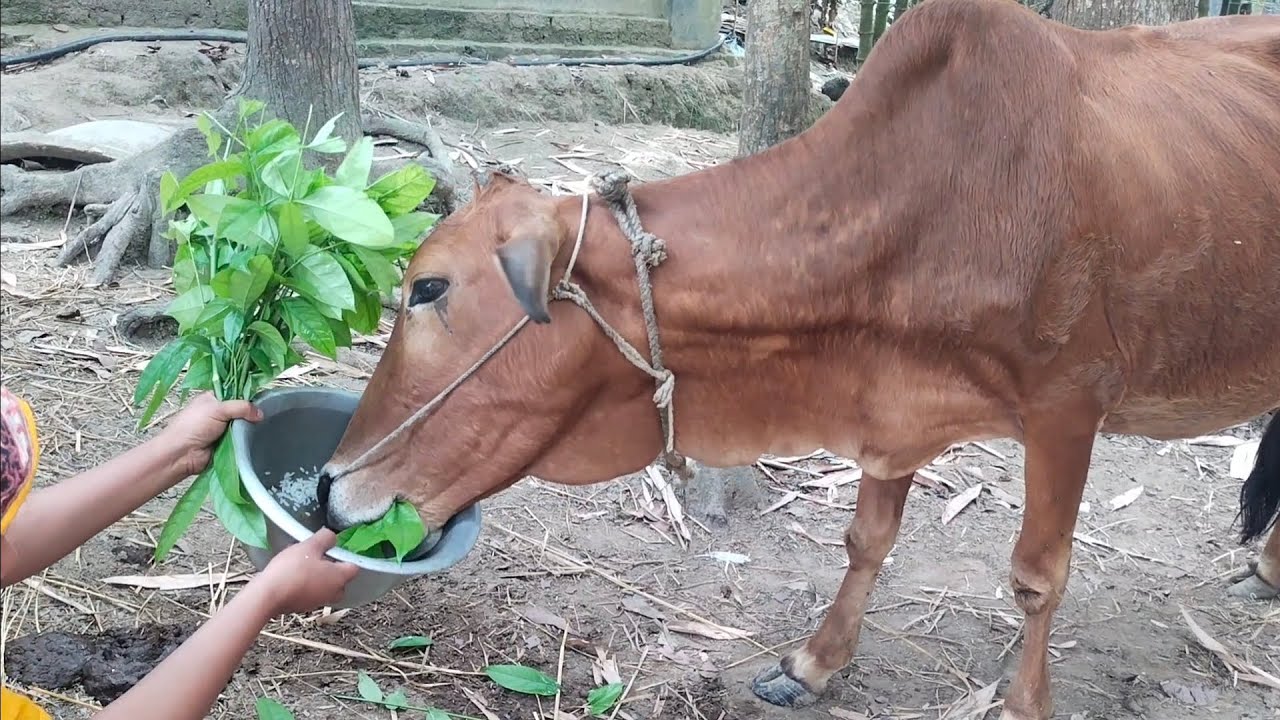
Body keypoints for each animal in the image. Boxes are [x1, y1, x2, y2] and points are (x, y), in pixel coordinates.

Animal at [316, 1, 1280, 717]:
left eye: (429, 287)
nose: (327, 489)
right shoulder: (893, 406)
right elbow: (866, 538)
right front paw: (814, 664)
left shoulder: (1066, 405)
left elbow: (1038, 577)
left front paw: (1022, 701)